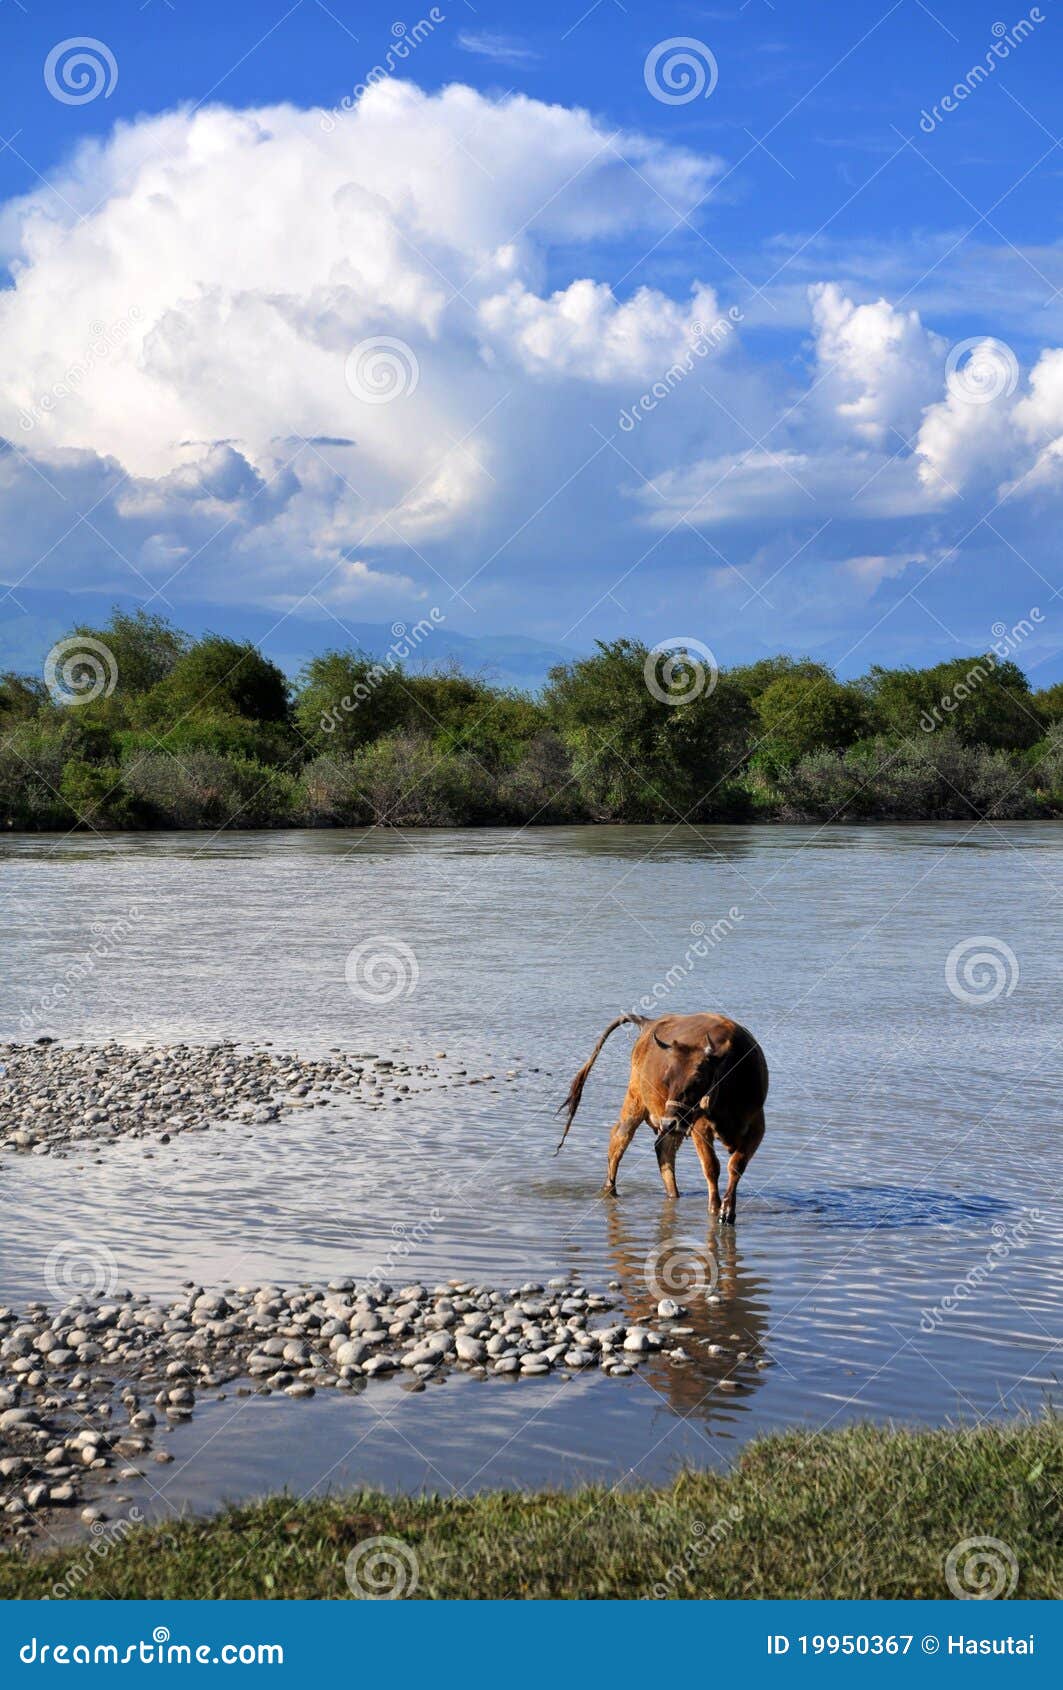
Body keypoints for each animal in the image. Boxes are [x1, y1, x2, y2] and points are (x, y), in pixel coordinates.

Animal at [555, 1011, 768, 1222]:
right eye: (667, 1079)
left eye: (697, 1080)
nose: (668, 1122)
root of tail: (649, 1023)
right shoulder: (700, 1127)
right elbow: (711, 1167)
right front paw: (715, 1209)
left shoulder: (757, 1127)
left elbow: (736, 1165)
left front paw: (728, 1210)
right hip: (637, 1102)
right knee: (620, 1138)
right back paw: (610, 1188)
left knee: (663, 1148)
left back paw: (673, 1194)